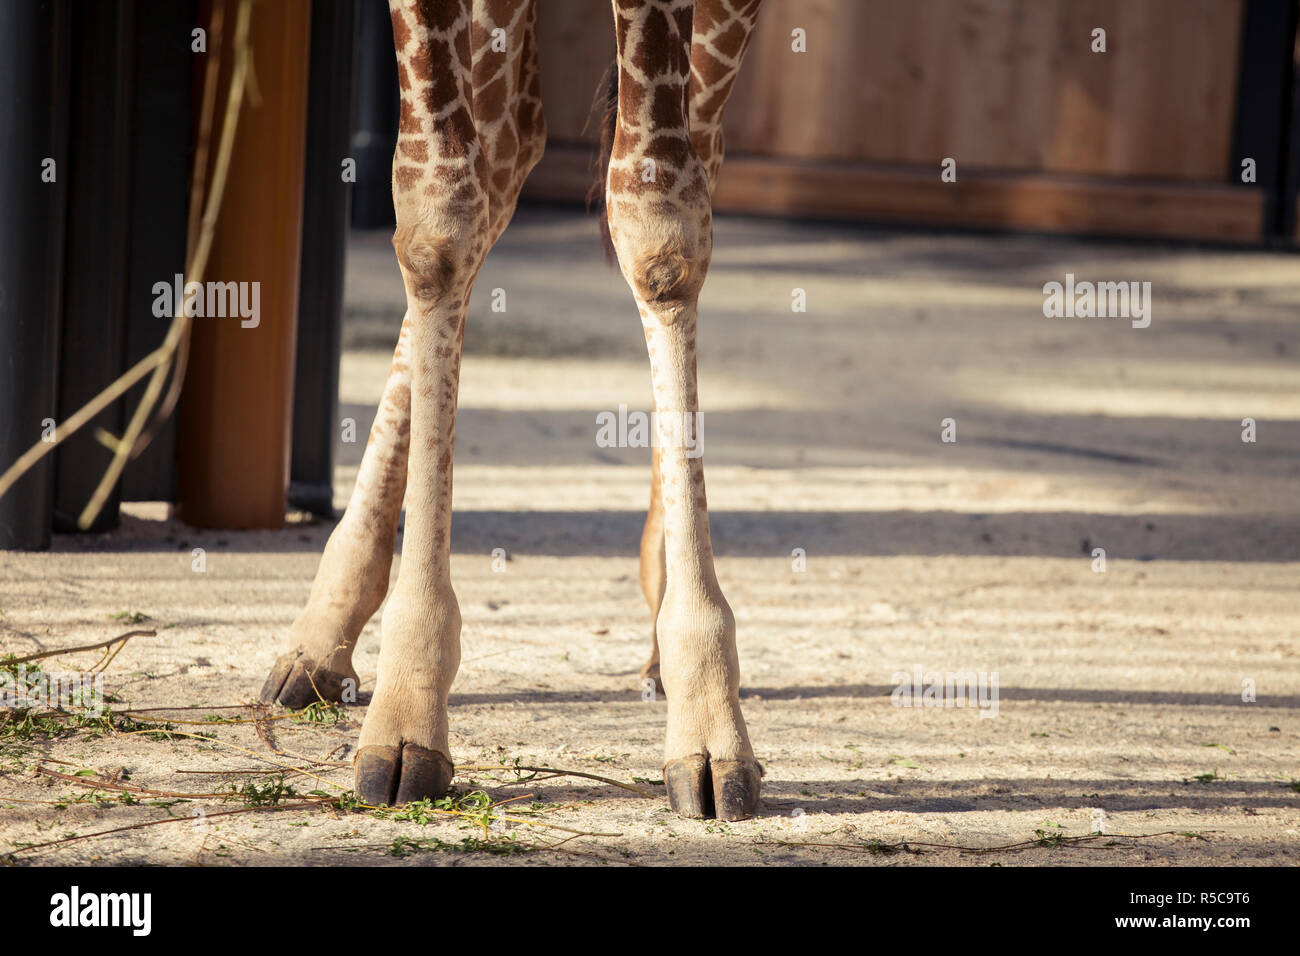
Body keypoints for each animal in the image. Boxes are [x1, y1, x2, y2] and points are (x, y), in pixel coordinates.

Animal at [260, 0, 765, 821]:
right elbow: (435, 218)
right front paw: (404, 721)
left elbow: (659, 230)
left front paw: (710, 730)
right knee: (505, 152)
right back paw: (318, 639)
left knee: (688, 151)